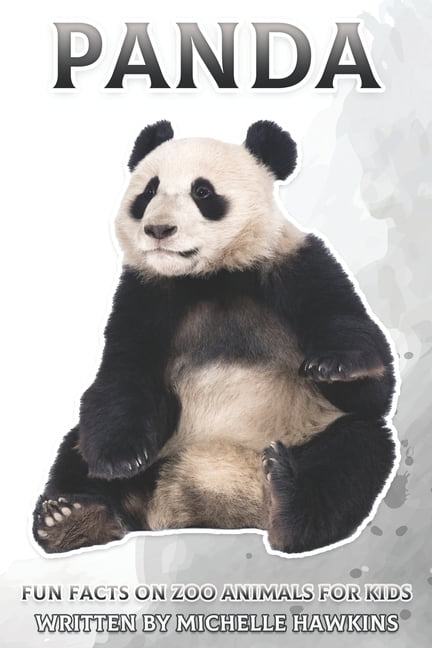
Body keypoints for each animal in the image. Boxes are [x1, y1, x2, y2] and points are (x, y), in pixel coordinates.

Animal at [33, 120, 397, 555]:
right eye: (149, 191)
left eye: (202, 192)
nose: (158, 229)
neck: (213, 276)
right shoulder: (145, 294)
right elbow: (123, 373)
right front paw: (118, 460)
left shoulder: (298, 264)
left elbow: (370, 382)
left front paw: (336, 366)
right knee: (76, 448)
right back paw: (71, 518)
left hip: (311, 434)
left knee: (356, 451)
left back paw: (288, 506)